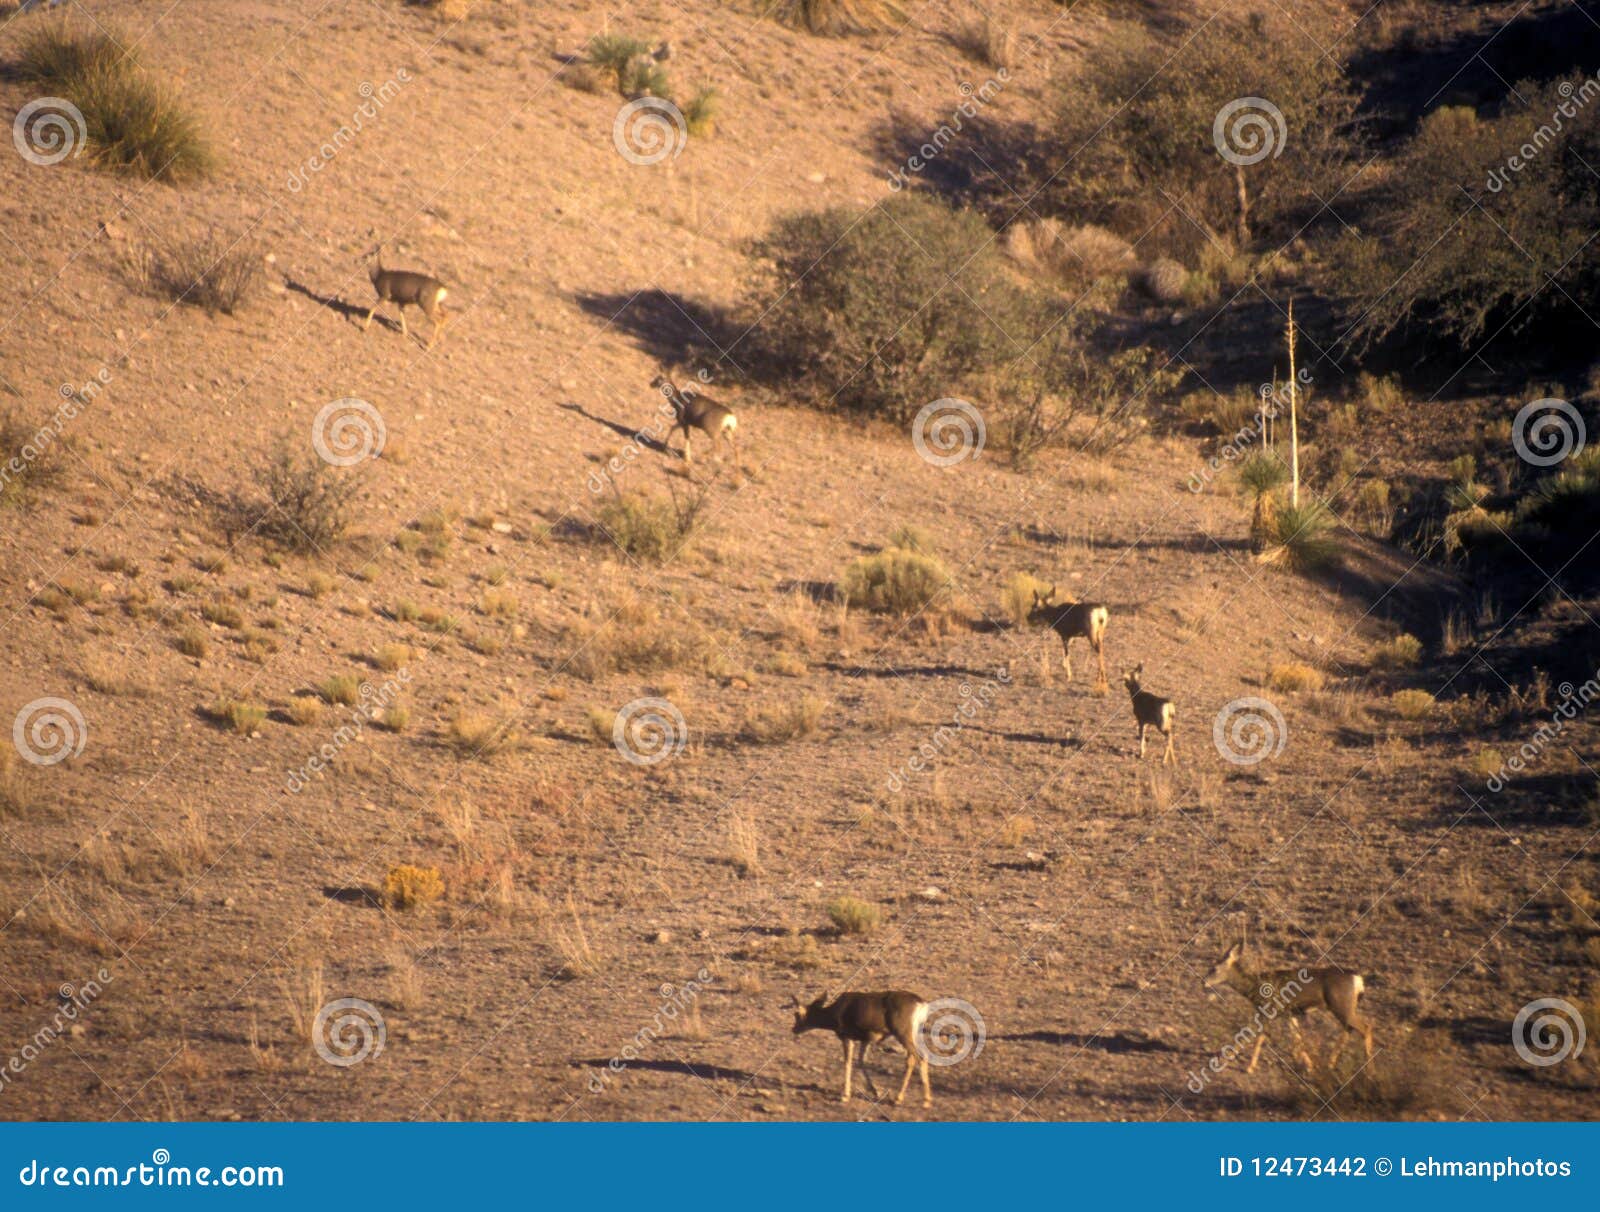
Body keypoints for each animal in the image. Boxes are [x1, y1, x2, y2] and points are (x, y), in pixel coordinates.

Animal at [790, 990, 931, 1107]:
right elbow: (861, 1061)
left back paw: (926, 1101)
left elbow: (848, 1062)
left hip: (902, 1032)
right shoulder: (866, 1039)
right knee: (913, 1060)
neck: (833, 1016)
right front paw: (874, 1090)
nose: (794, 1029)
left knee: (920, 1058)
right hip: (913, 1034)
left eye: (797, 1014)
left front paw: (845, 1095)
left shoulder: (846, 1036)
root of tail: (922, 1004)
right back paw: (899, 1098)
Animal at [1203, 940, 1374, 1073]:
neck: (1255, 987)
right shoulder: (1290, 1013)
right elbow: (1297, 1038)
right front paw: (1310, 1066)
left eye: (1215, 968)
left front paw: (1248, 1067)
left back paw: (1369, 1070)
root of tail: (1358, 980)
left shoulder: (1267, 1011)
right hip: (1344, 1008)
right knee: (1350, 1029)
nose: (1203, 981)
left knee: (1365, 1027)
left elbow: (1259, 1037)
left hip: (1340, 1005)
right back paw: (1331, 1064)